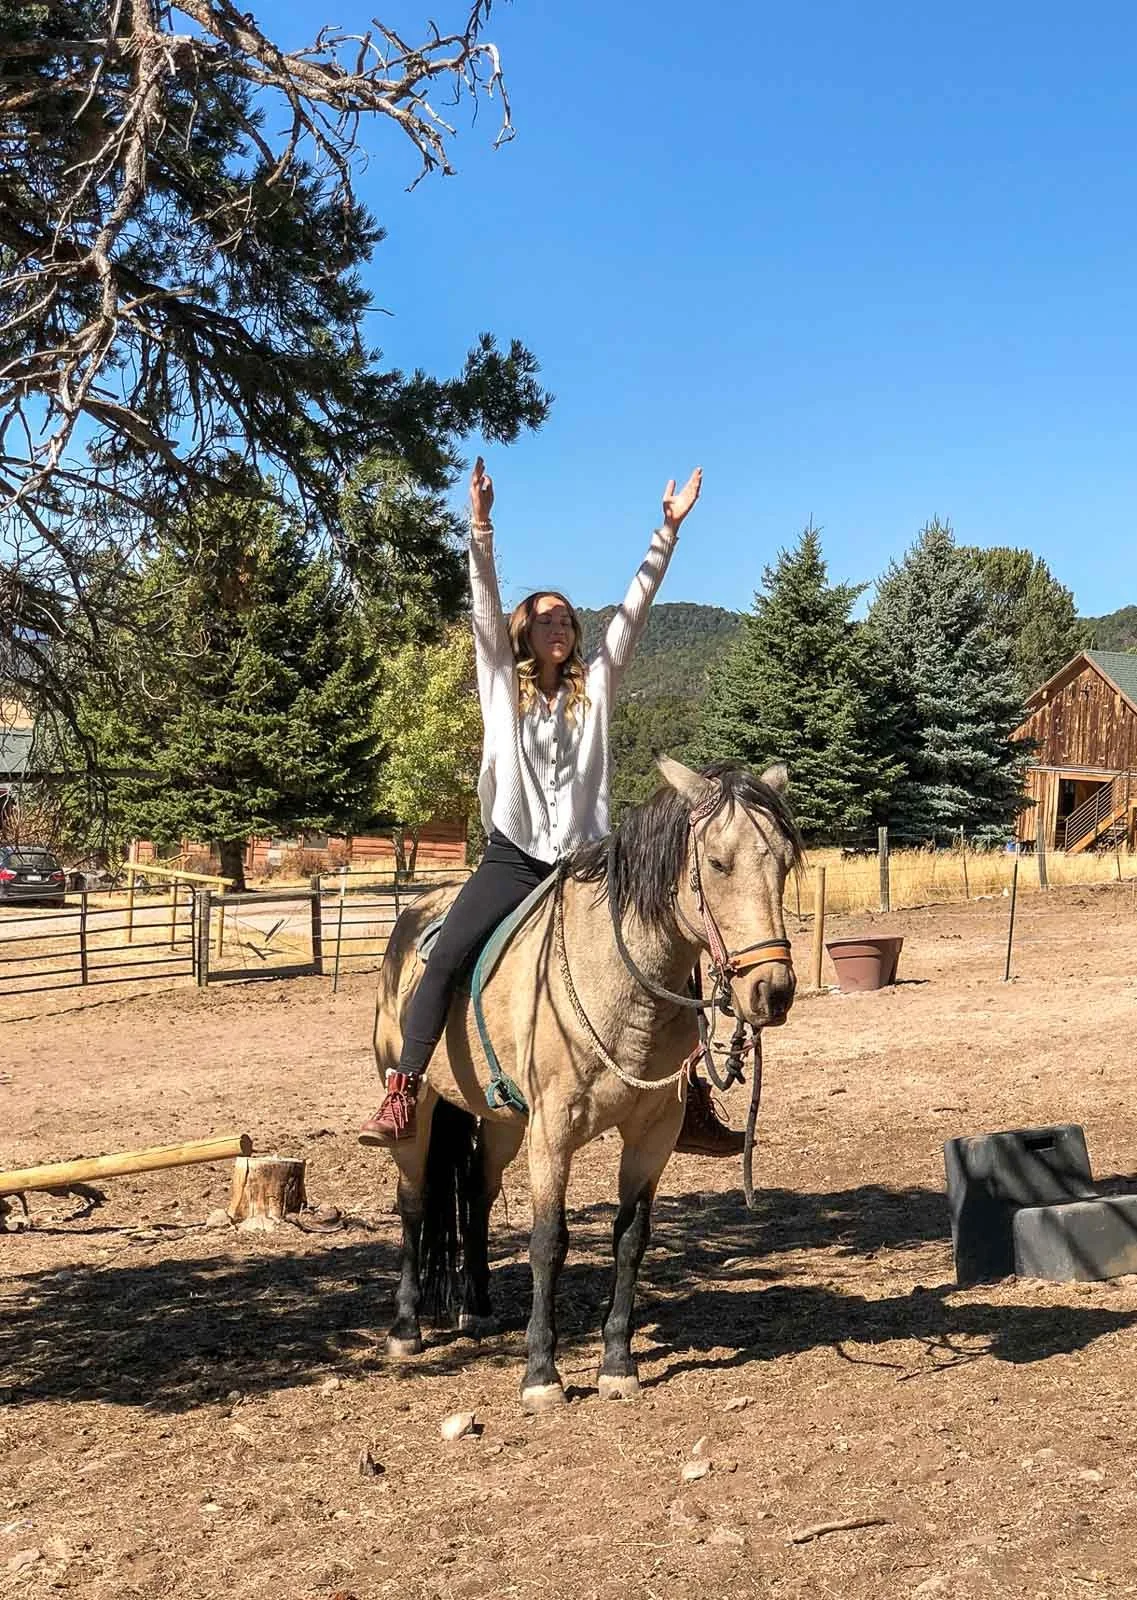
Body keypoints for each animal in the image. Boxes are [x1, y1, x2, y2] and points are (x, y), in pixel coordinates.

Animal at [370, 756, 802, 1411]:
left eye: (782, 861)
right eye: (718, 863)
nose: (772, 992)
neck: (622, 988)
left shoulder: (653, 1132)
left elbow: (631, 1237)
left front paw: (618, 1362)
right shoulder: (553, 1133)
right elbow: (549, 1241)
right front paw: (541, 1373)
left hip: (503, 1122)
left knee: (476, 1193)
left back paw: (477, 1308)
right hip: (418, 1110)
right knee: (415, 1201)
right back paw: (405, 1328)